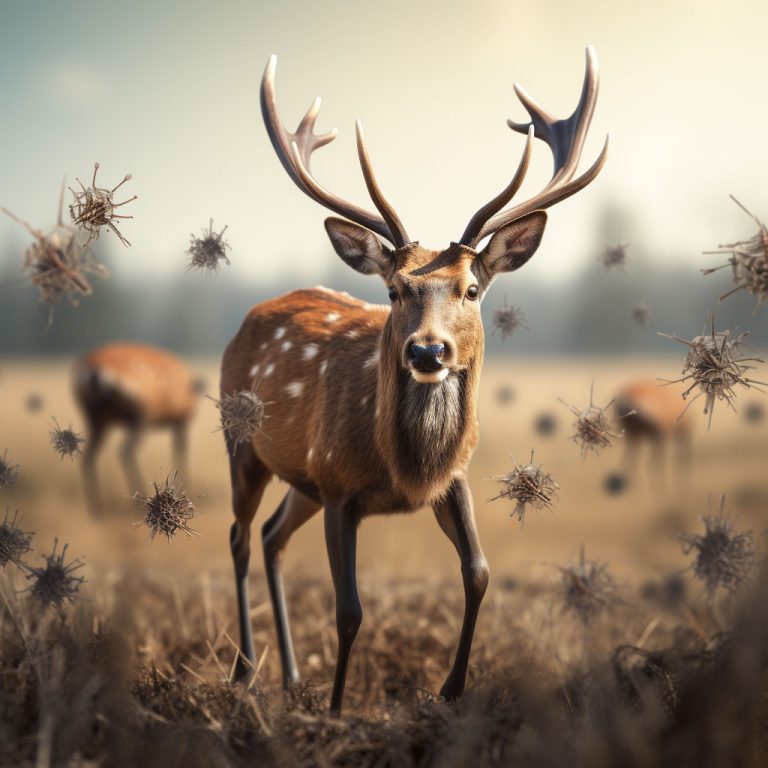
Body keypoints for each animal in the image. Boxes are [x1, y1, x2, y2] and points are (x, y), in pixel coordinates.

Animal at [73, 341, 201, 514]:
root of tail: (96, 372)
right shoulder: (180, 422)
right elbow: (180, 452)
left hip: (97, 420)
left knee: (88, 457)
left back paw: (97, 508)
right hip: (140, 420)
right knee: (125, 451)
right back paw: (140, 501)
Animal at [220, 48, 609, 714]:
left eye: (472, 289)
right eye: (395, 290)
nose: (429, 349)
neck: (402, 467)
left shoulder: (451, 480)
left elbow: (479, 573)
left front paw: (450, 691)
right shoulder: (339, 485)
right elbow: (350, 609)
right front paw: (338, 709)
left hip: (302, 480)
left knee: (271, 537)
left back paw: (291, 675)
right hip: (243, 443)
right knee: (241, 537)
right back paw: (247, 673)